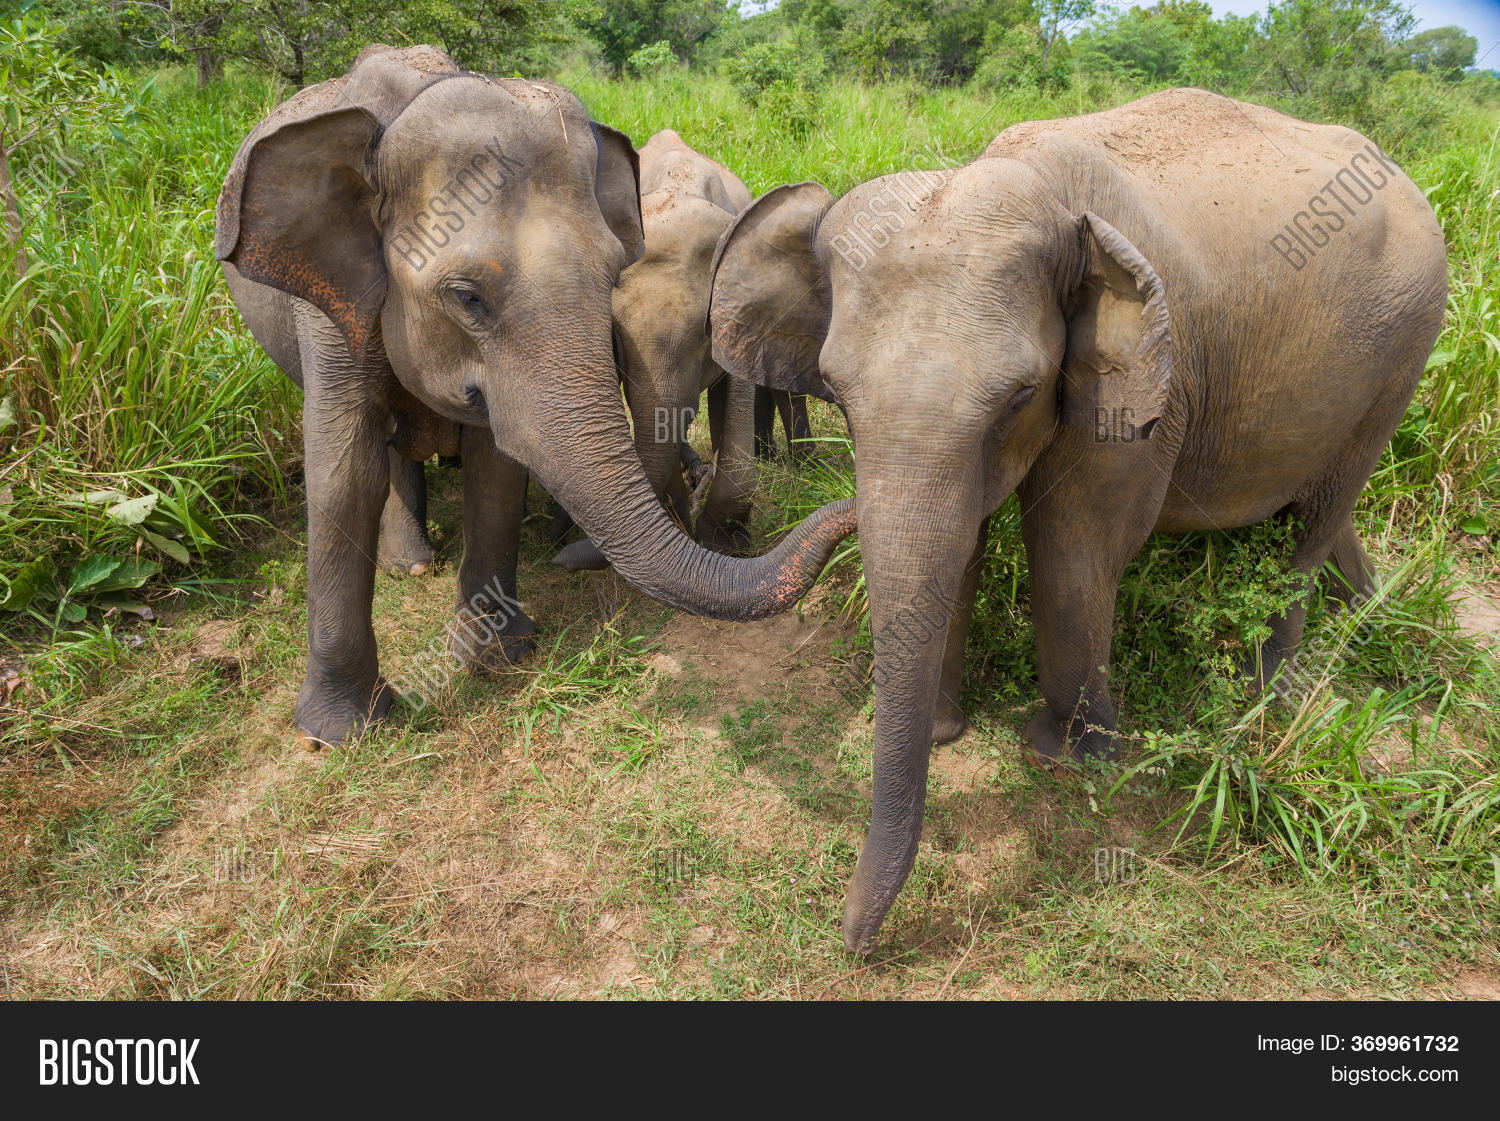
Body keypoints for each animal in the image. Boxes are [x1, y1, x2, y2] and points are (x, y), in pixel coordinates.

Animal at [216, 44, 855, 750]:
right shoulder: (329, 302)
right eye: (467, 297)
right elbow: (342, 472)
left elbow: (496, 468)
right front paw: (338, 733)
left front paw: (501, 655)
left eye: (611, 273)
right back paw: (411, 566)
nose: (853, 504)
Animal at [707, 88, 1447, 952]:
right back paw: (1367, 604)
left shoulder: (1151, 379)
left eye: (1020, 395)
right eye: (835, 390)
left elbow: (1072, 547)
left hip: (1404, 352)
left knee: (1319, 515)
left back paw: (1271, 690)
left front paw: (1071, 757)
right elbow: (962, 540)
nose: (854, 940)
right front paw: (947, 732)